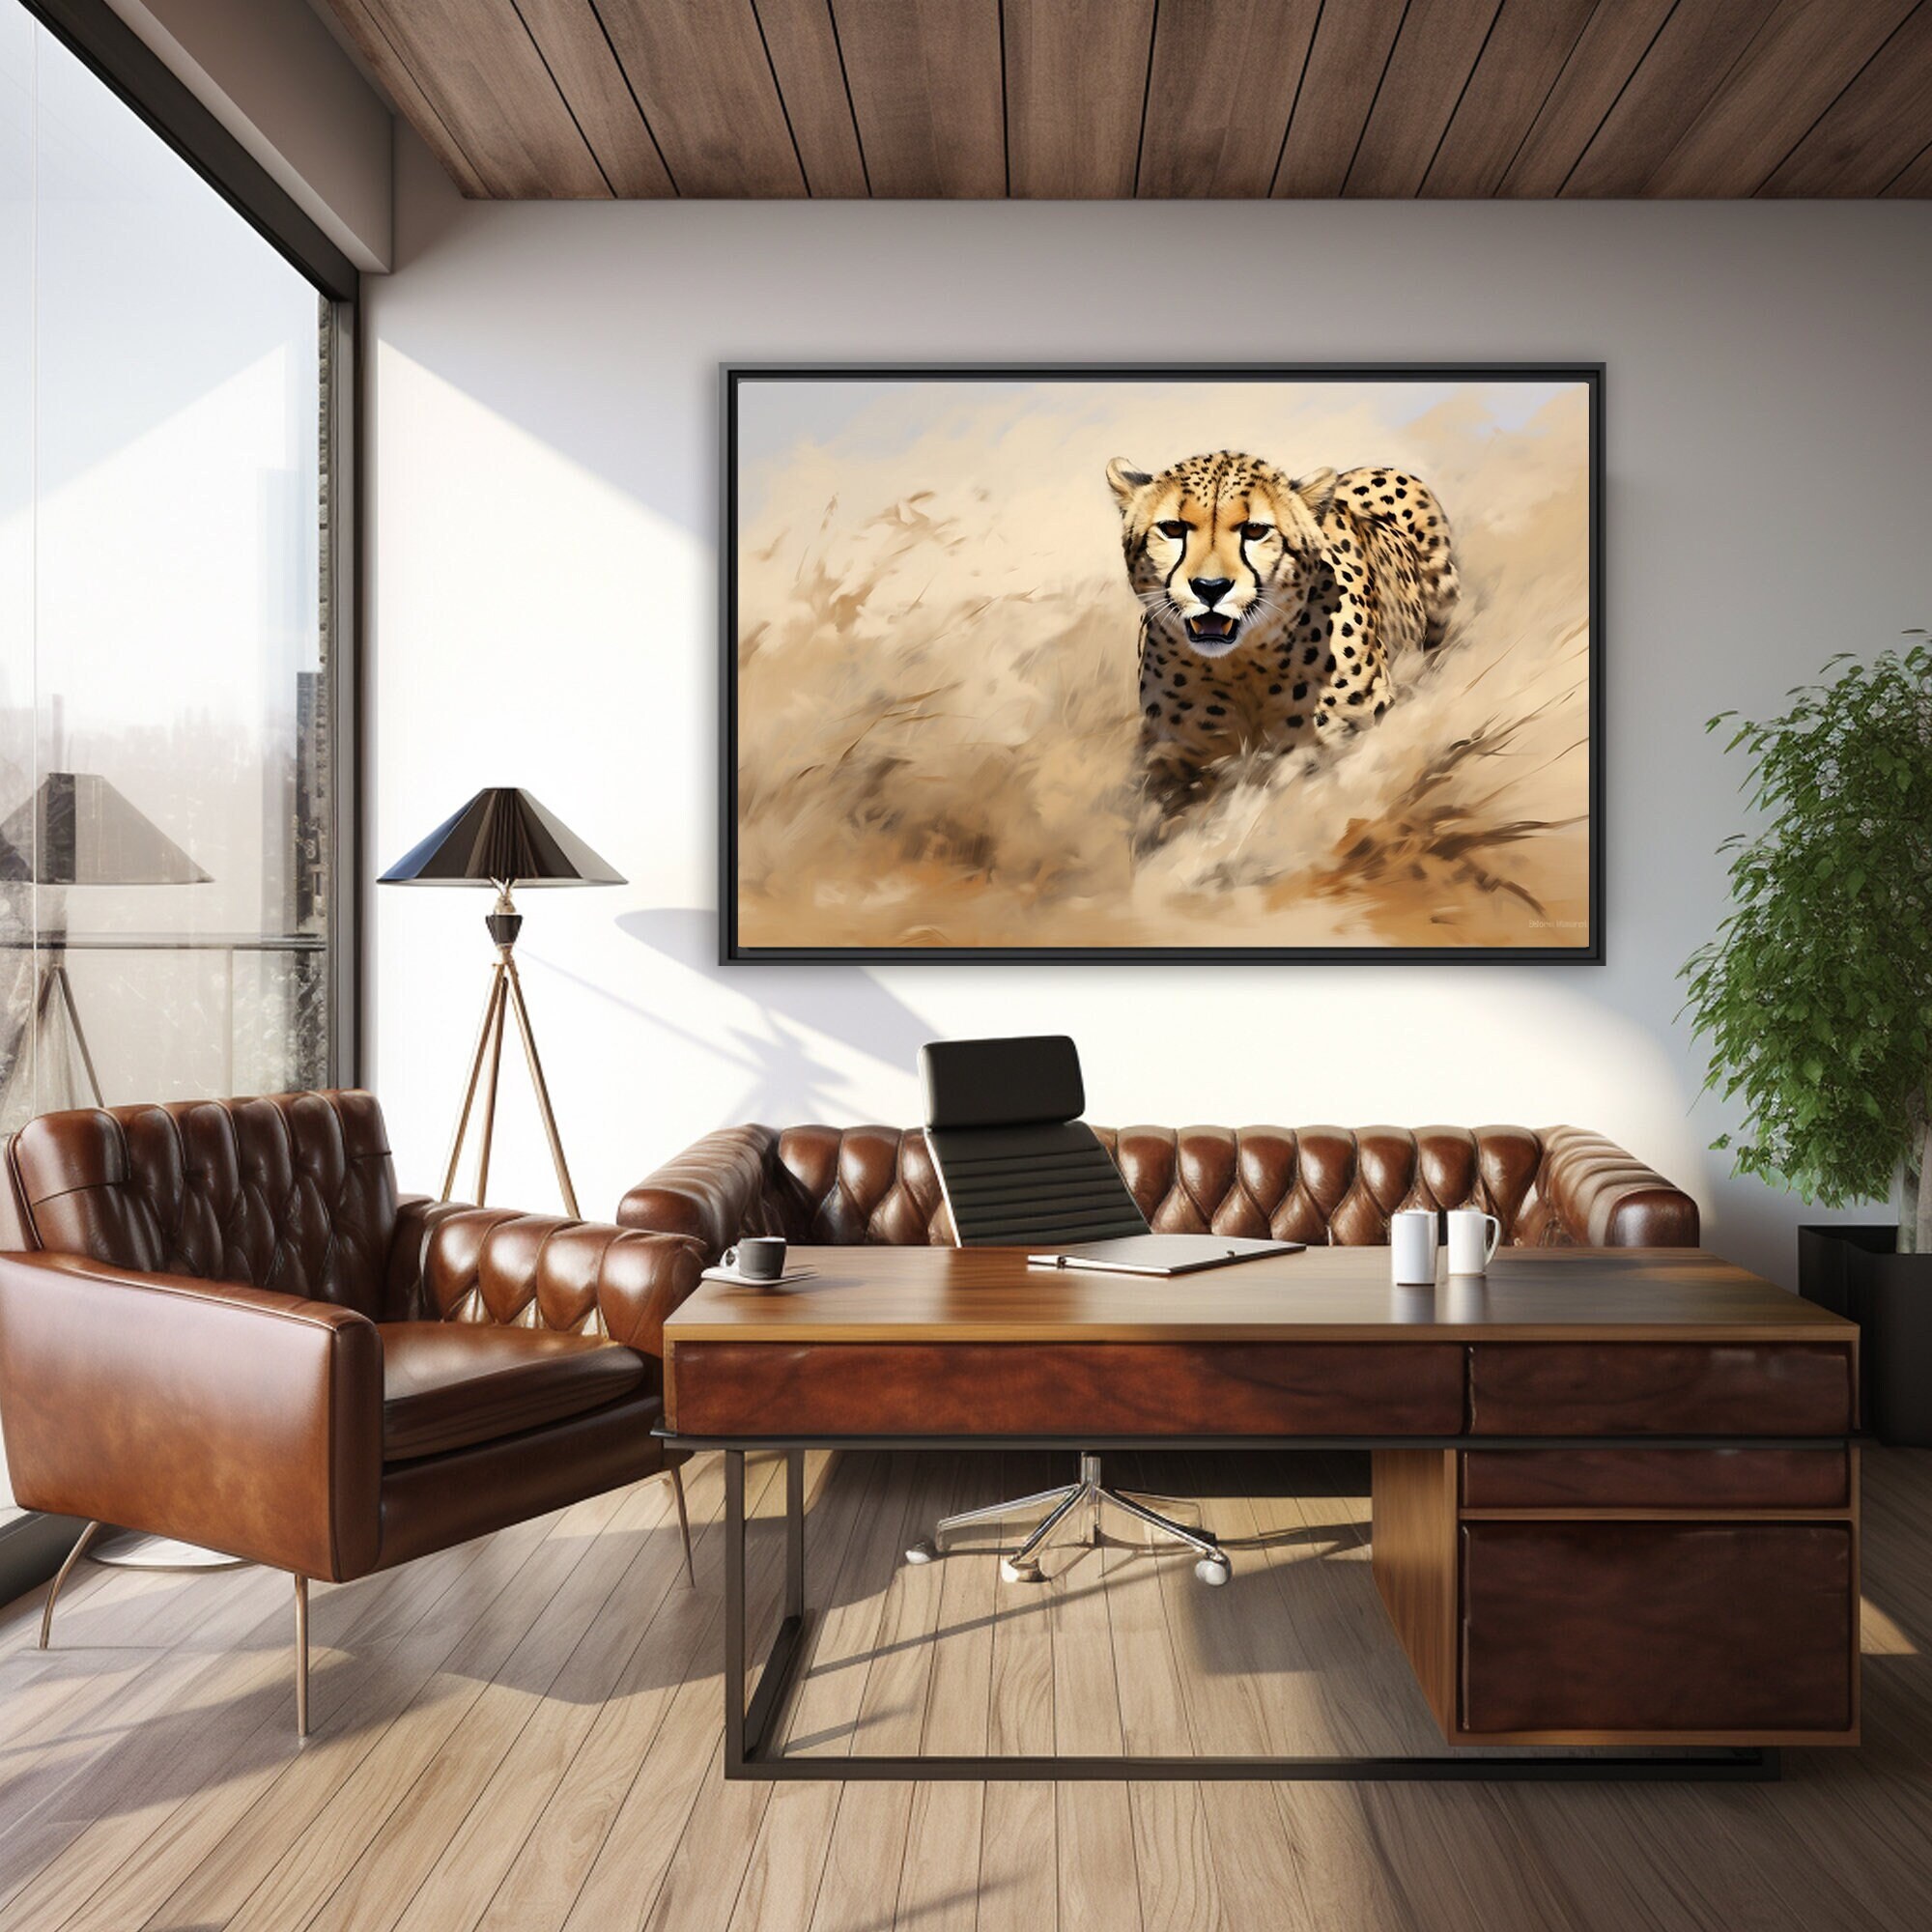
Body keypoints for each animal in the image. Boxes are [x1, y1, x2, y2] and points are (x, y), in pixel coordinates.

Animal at [1106, 449, 1459, 814]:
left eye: (1255, 530)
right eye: (1173, 528)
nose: (1210, 587)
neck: (1243, 663)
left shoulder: (1345, 734)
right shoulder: (1181, 755)